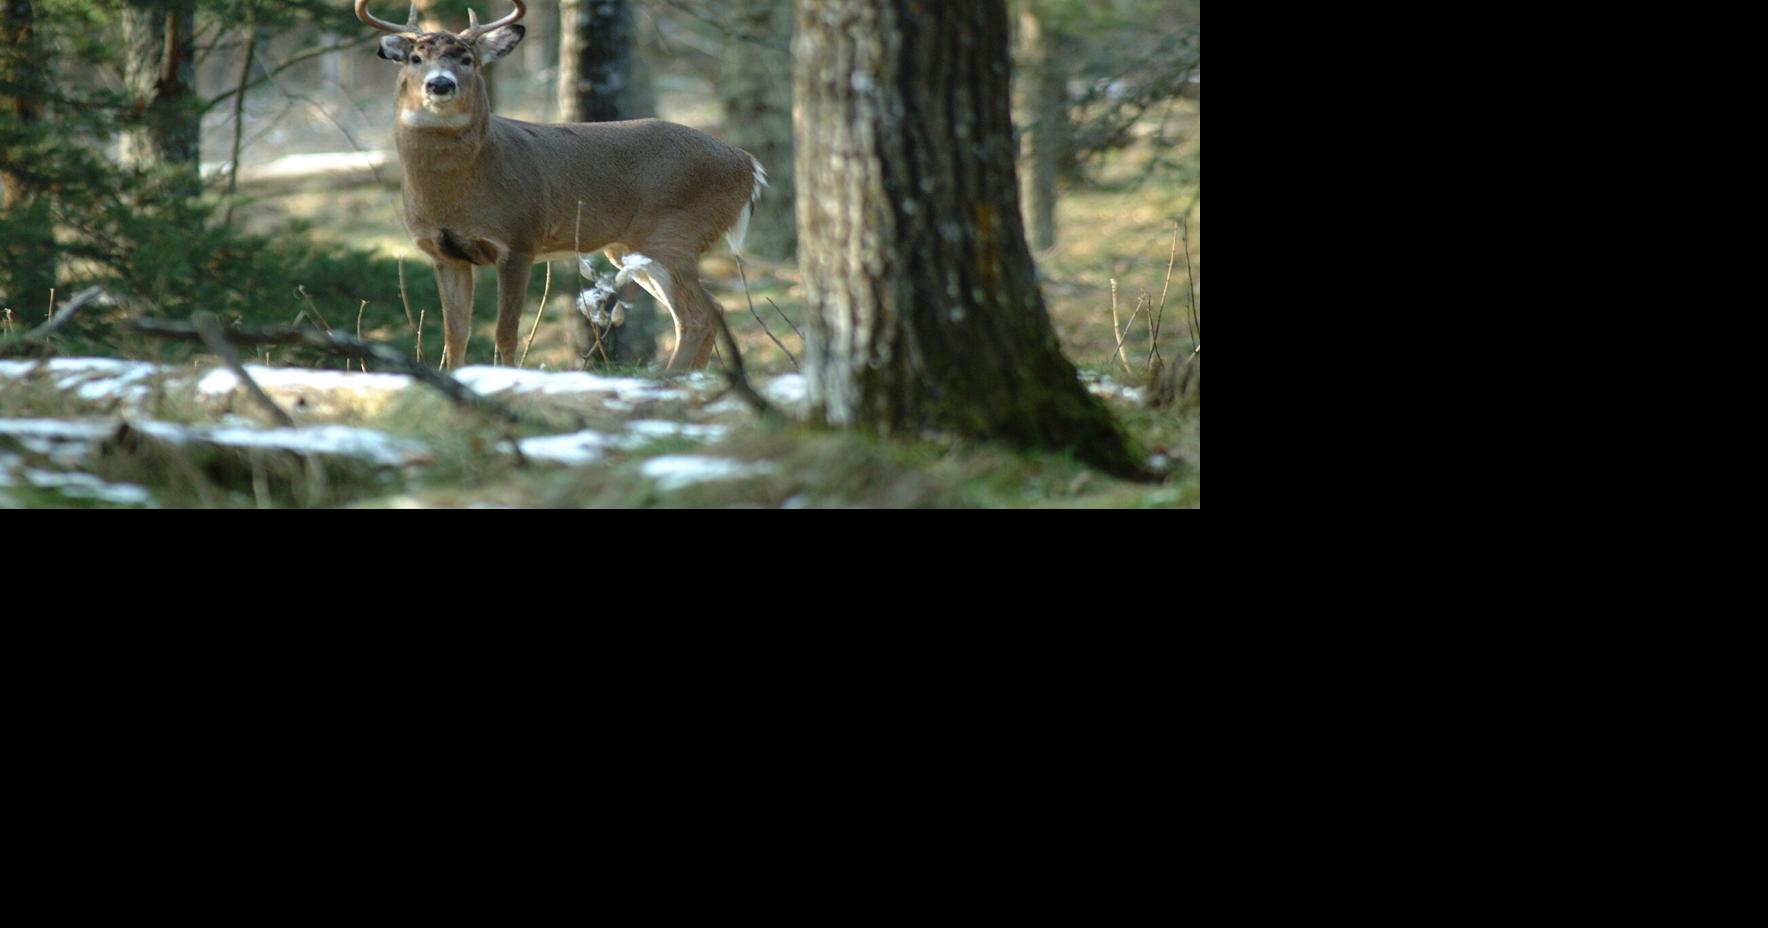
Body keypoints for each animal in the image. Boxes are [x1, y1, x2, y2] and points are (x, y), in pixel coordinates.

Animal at [355, 0, 765, 371]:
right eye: (415, 58)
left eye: (467, 59)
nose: (440, 84)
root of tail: (748, 163)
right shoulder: (443, 253)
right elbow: (455, 338)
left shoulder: (519, 240)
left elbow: (506, 333)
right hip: (631, 248)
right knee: (709, 310)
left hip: (676, 235)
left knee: (697, 315)